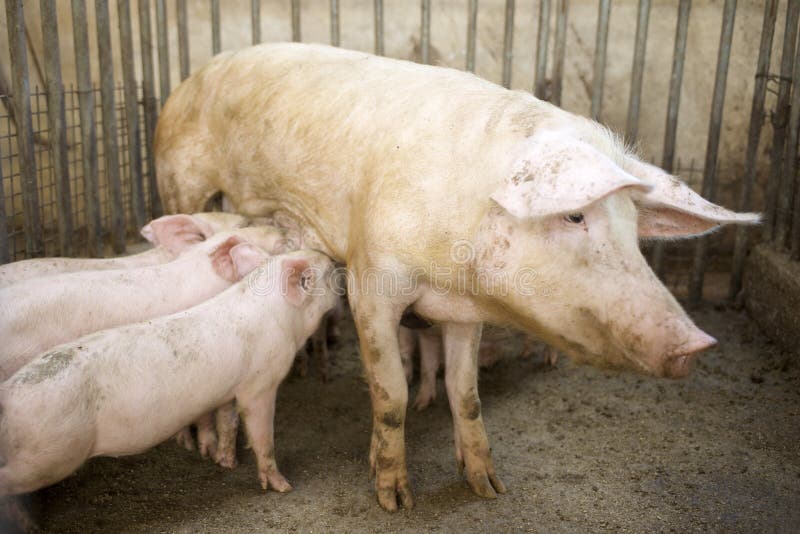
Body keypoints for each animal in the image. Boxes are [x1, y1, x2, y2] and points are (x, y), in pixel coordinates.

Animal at [0, 247, 337, 496]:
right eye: (328, 273)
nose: (335, 259)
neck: (282, 319)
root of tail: (9, 394)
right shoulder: (260, 384)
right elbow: (262, 436)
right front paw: (284, 487)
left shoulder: (231, 388)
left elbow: (227, 422)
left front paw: (225, 462)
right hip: (48, 453)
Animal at [154, 43, 759, 511]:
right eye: (574, 216)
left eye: (634, 229)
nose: (698, 343)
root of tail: (192, 75)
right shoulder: (372, 286)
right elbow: (391, 393)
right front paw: (395, 499)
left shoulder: (465, 312)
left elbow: (465, 394)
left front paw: (488, 488)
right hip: (178, 180)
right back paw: (199, 444)